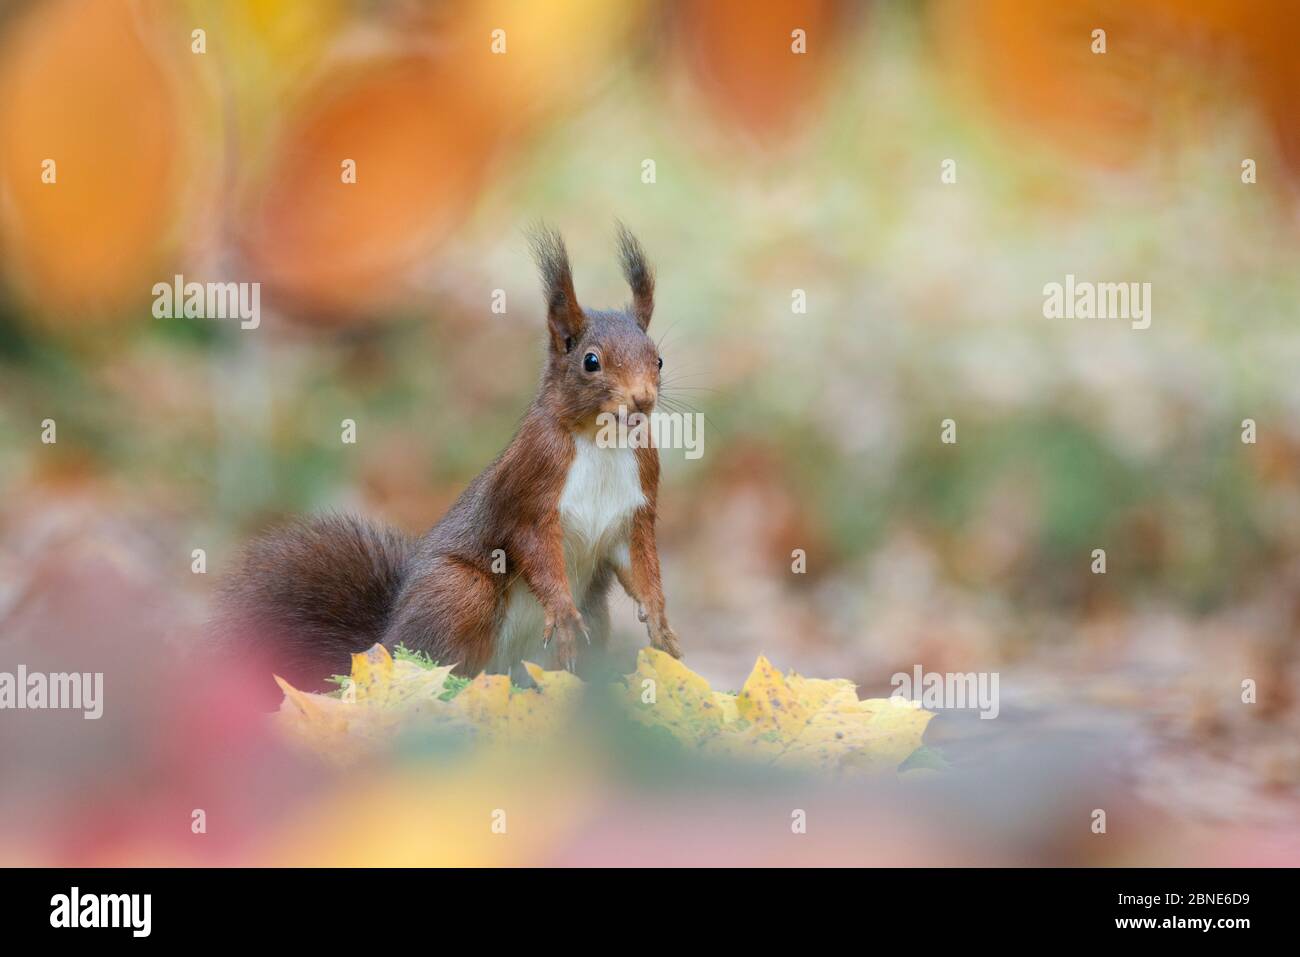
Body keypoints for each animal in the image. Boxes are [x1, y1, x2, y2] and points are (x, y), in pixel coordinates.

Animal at [217, 224, 682, 691]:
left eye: (659, 360)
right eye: (590, 361)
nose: (642, 400)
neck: (602, 440)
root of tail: (382, 640)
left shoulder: (636, 507)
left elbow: (640, 565)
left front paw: (661, 622)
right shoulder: (531, 486)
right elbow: (534, 549)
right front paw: (564, 615)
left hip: (592, 617)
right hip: (459, 591)